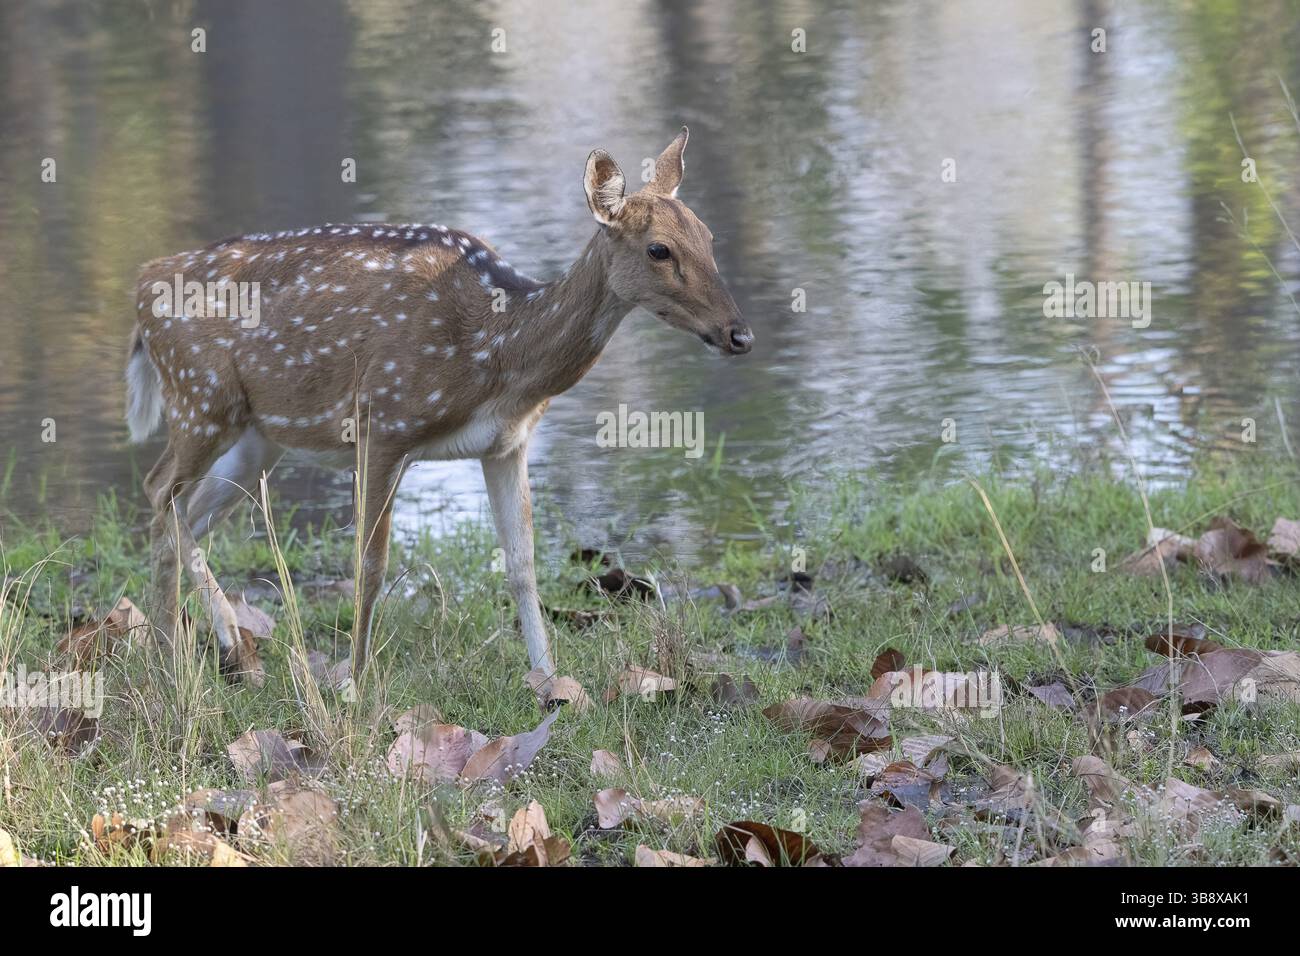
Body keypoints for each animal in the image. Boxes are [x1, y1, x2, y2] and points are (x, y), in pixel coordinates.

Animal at [124, 127, 753, 696]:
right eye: (658, 249)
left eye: (708, 236)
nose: (739, 334)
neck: (498, 353)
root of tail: (142, 287)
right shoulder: (384, 420)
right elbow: (371, 564)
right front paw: (354, 686)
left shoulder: (508, 444)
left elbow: (522, 564)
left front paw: (553, 684)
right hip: (202, 399)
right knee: (158, 490)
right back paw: (210, 645)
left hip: (259, 435)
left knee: (180, 511)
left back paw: (184, 654)